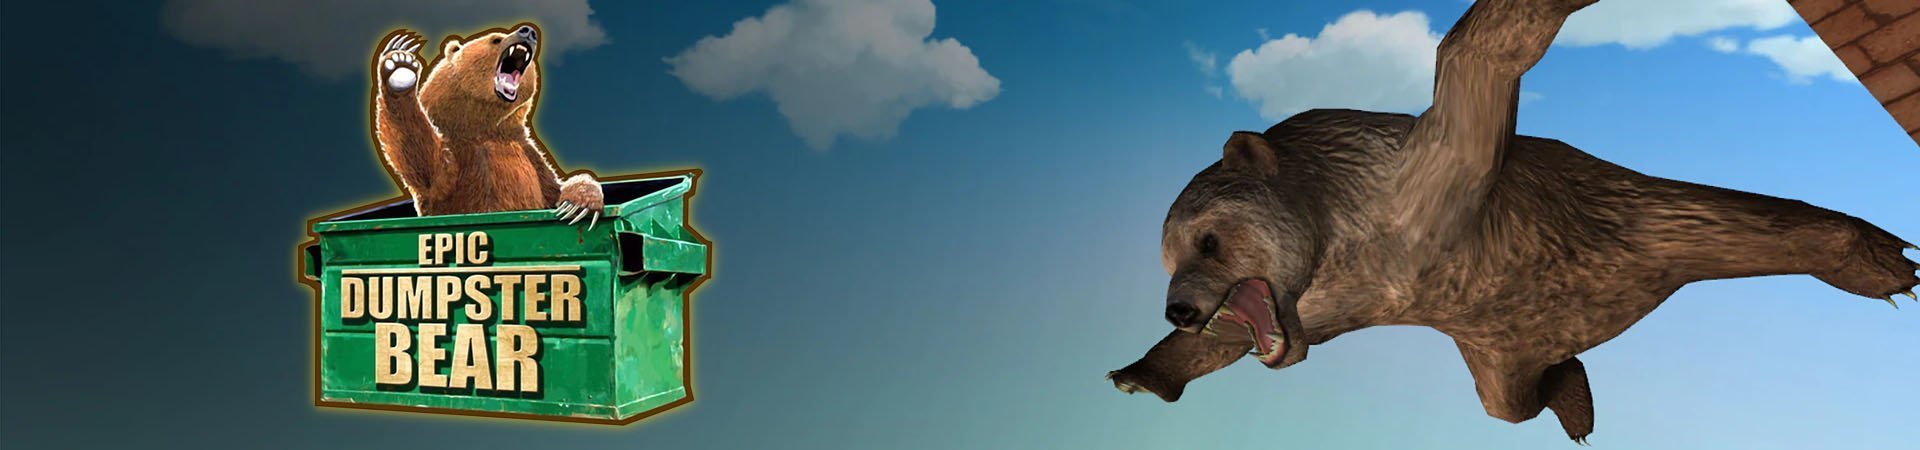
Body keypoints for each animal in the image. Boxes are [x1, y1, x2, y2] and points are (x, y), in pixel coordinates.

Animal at [370, 23, 603, 226]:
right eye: (496, 39)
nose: (528, 32)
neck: (484, 128)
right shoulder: (459, 155)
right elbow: (427, 163)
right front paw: (400, 63)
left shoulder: (525, 149)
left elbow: (553, 187)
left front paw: (578, 203)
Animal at [1105, 0, 1918, 443]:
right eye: (1171, 255)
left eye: (1209, 237)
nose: (1179, 306)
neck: (1347, 240)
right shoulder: (1330, 299)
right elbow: (1232, 343)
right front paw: (1143, 372)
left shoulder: (1421, 175)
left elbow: (1479, 46)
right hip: (1500, 352)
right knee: (1507, 405)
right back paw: (1571, 393)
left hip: (1638, 223)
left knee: (1720, 223)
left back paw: (1875, 260)